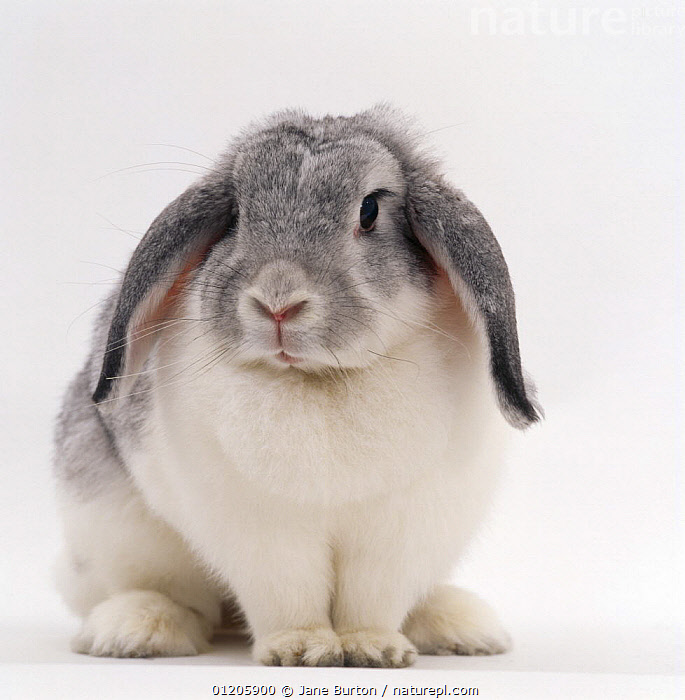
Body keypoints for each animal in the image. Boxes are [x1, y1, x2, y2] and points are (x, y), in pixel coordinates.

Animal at [53, 105, 541, 667]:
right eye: (237, 214)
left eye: (370, 210)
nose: (278, 302)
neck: (316, 379)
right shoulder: (264, 534)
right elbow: (287, 596)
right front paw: (301, 649)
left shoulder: (401, 530)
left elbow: (373, 599)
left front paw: (372, 648)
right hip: (116, 534)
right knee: (163, 594)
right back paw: (138, 629)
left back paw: (457, 626)